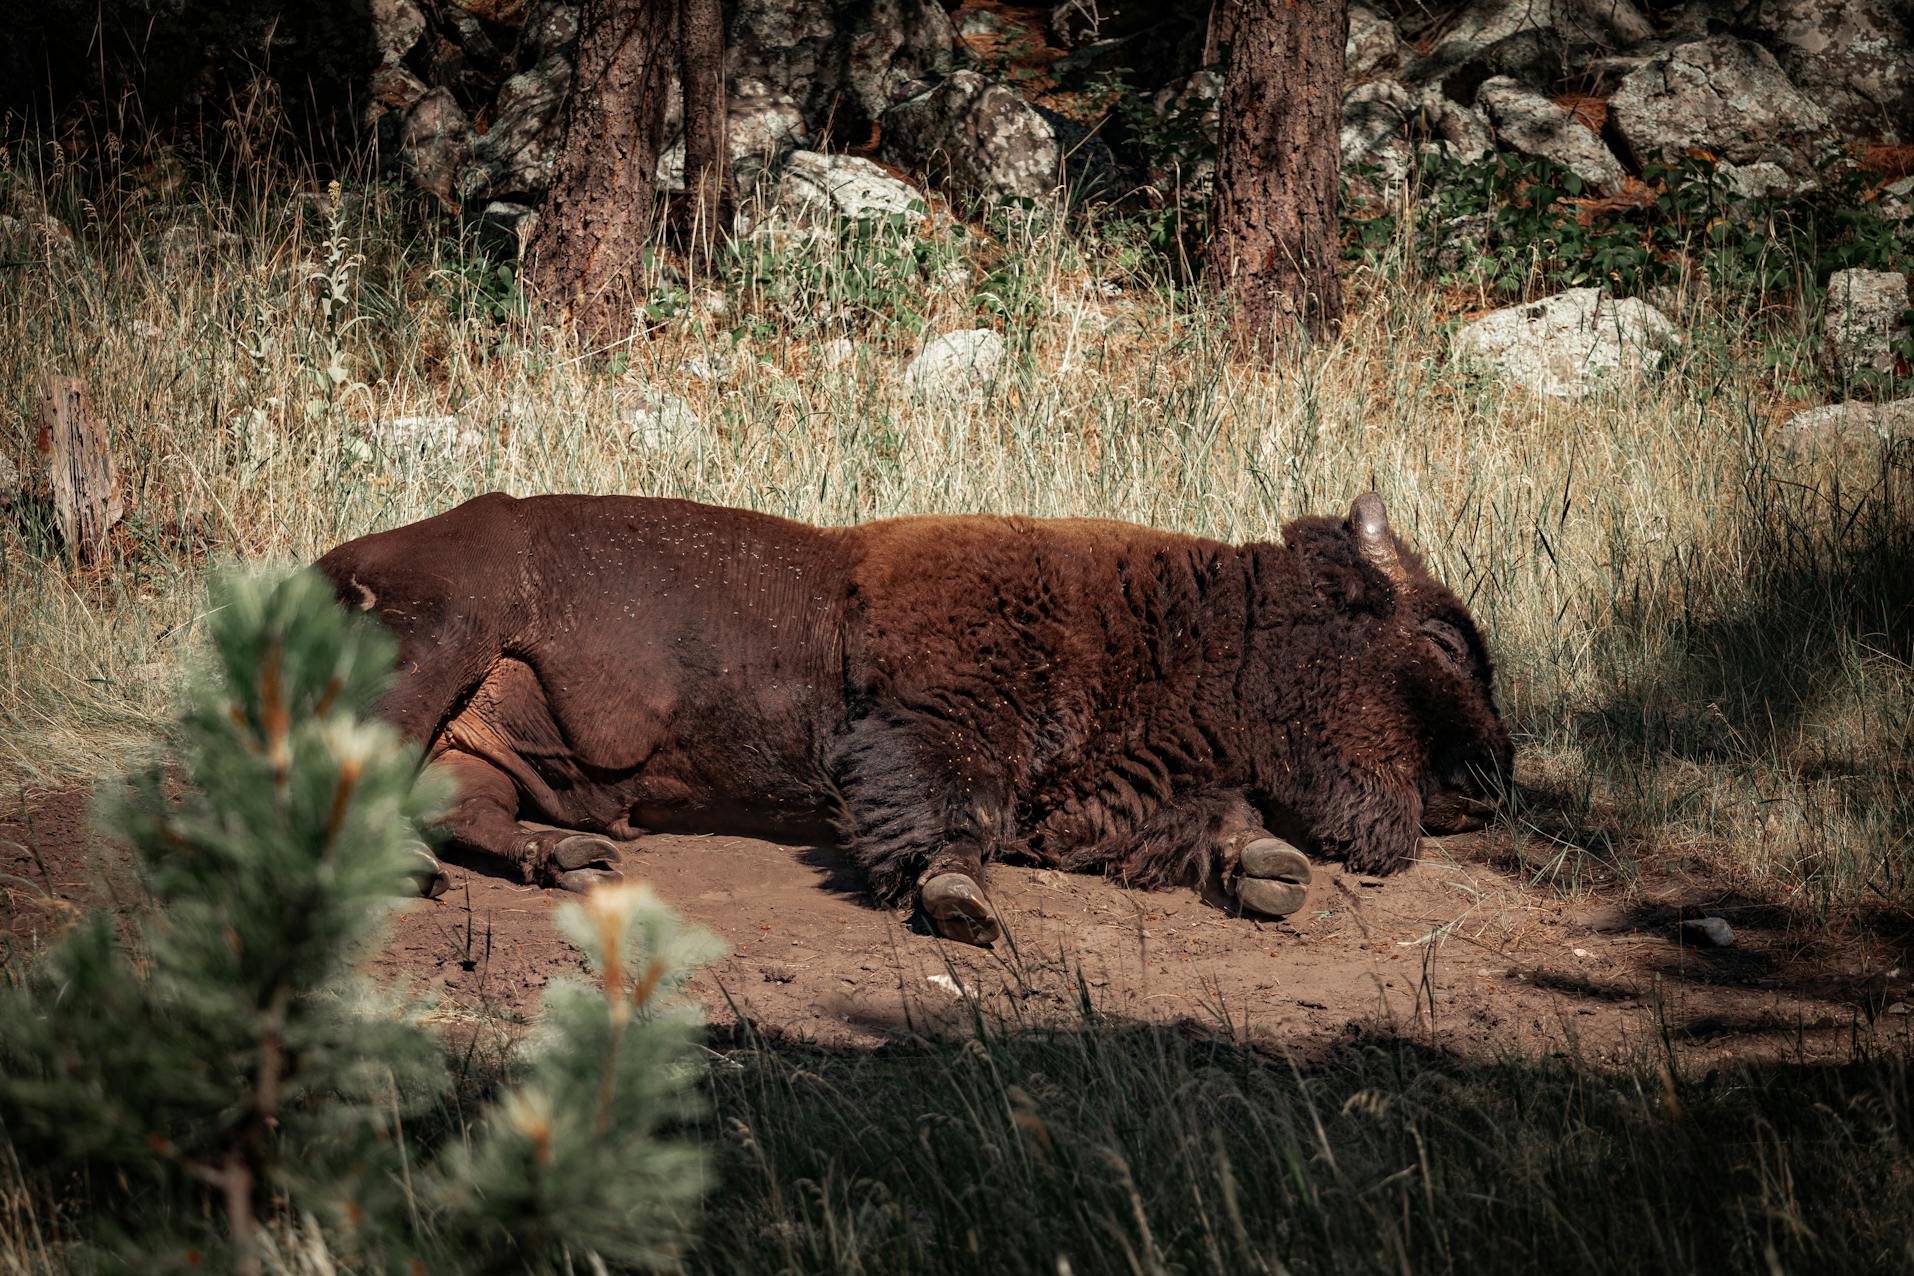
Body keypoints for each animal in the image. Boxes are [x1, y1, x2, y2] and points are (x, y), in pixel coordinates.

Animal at [317, 491, 1510, 944]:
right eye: (1447, 641)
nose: (1495, 779)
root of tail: (335, 560)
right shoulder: (935, 734)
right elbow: (943, 814)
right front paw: (960, 905)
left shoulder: (1087, 802)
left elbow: (1203, 823)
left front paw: (1269, 869)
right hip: (442, 643)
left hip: (495, 736)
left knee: (462, 806)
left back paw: (566, 858)